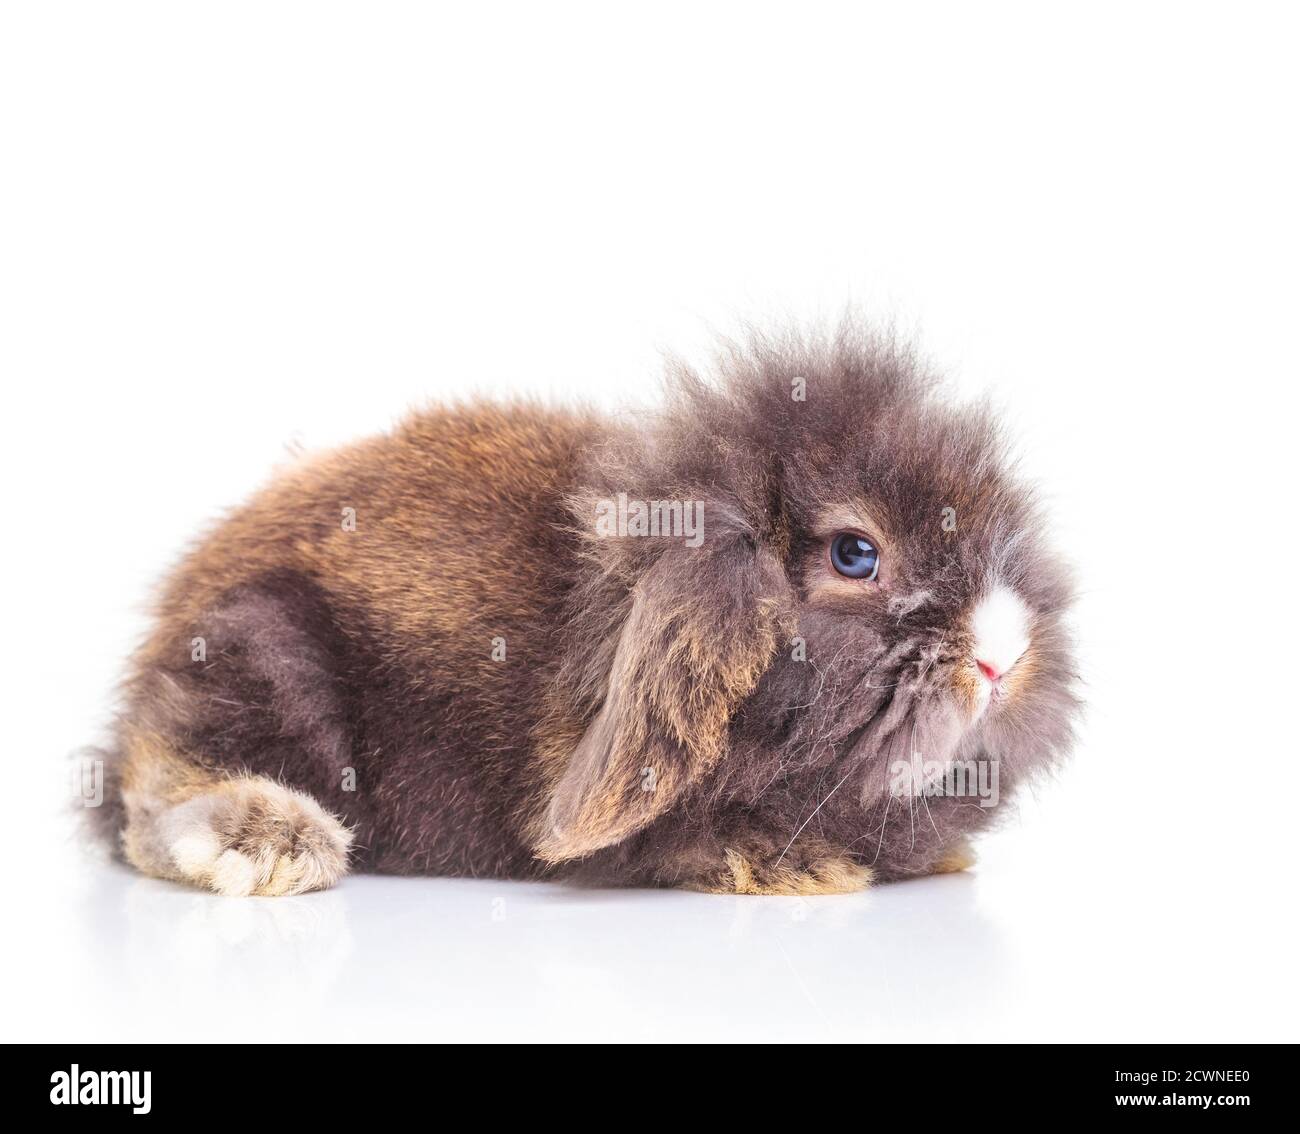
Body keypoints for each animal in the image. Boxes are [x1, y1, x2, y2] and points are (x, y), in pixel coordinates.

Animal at [97, 321, 1079, 897]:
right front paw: (797, 866)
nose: (1002, 654)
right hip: (261, 659)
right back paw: (273, 841)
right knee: (156, 792)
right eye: (854, 554)